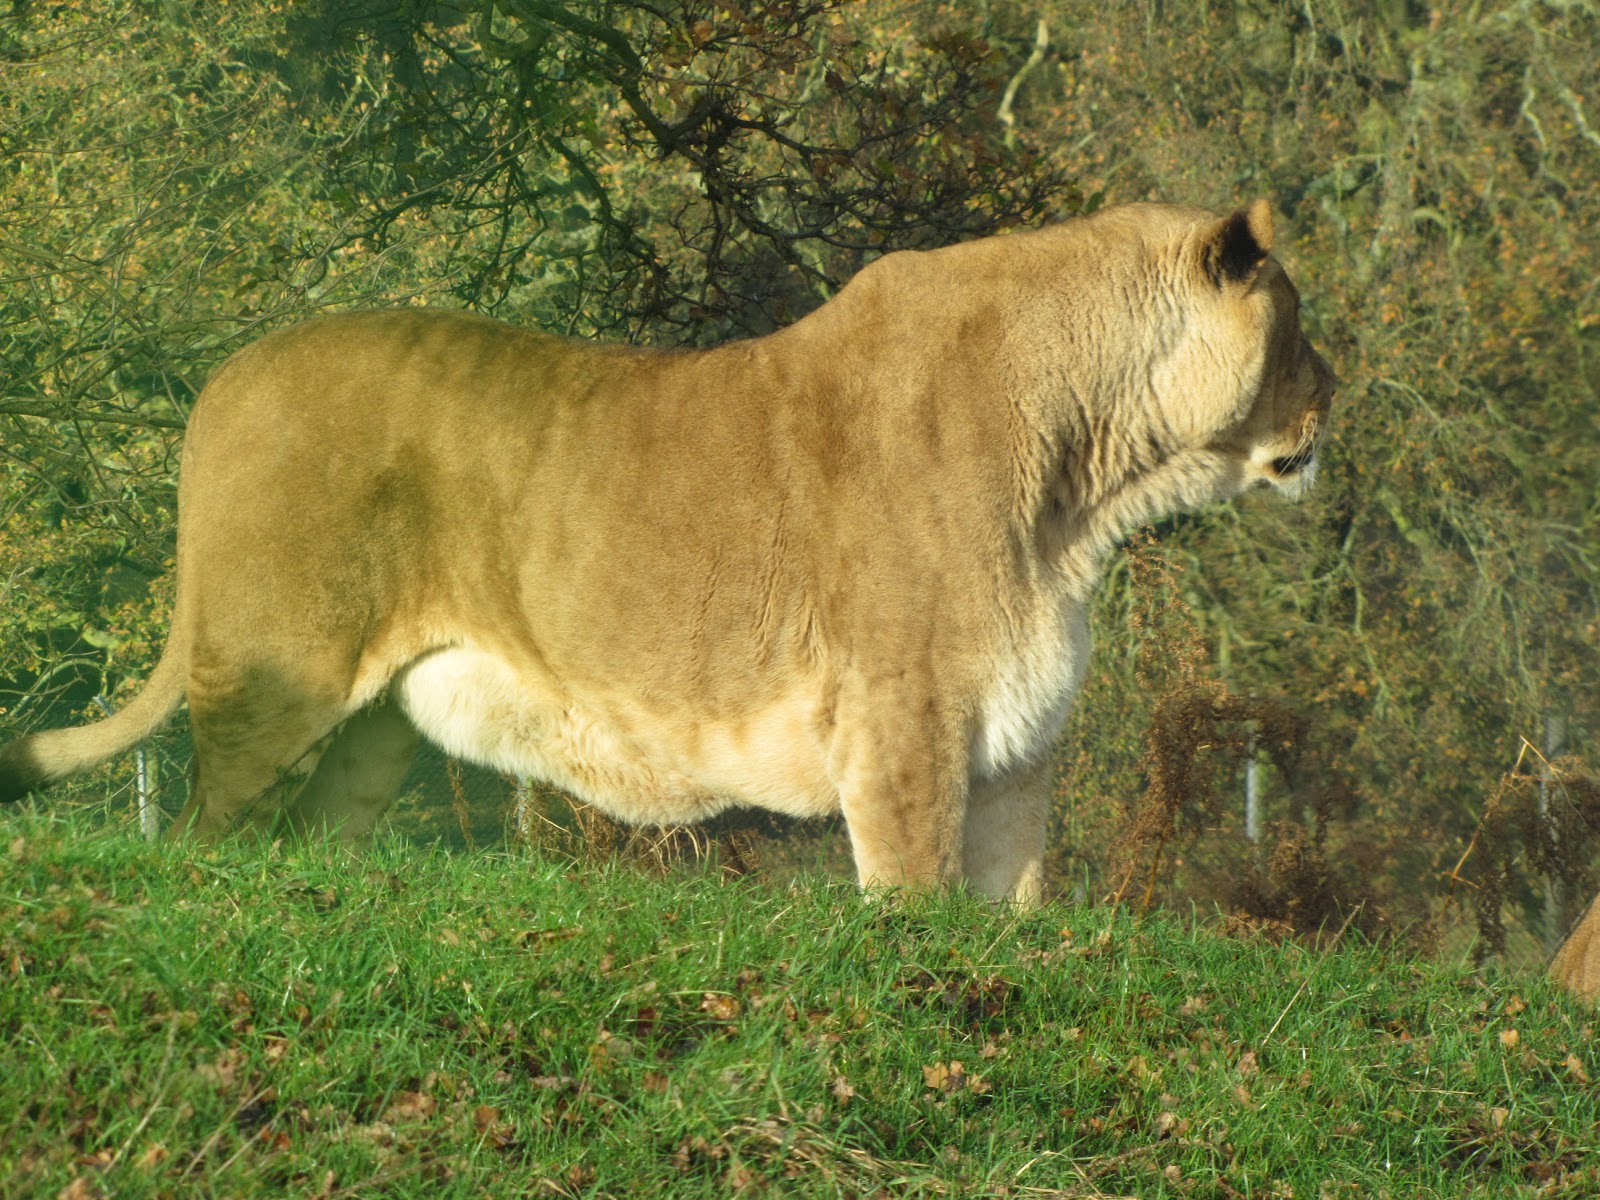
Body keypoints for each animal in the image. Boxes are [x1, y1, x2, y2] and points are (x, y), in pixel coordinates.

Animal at [0, 199, 1333, 903]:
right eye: (1297, 328)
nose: (1334, 395)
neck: (1086, 490)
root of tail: (227, 379)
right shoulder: (901, 721)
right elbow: (914, 903)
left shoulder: (1016, 745)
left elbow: (1010, 913)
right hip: (274, 686)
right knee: (204, 840)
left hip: (373, 731)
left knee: (314, 840)